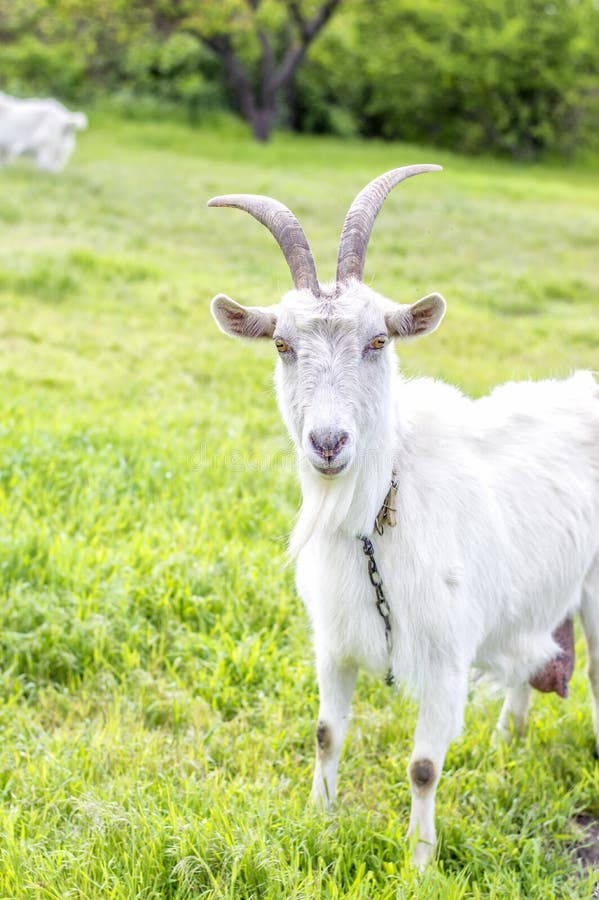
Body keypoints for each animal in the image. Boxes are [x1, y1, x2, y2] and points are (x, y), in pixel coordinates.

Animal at [208, 166, 599, 867]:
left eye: (378, 340)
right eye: (281, 344)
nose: (328, 443)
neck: (379, 519)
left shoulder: (445, 659)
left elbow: (422, 767)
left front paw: (419, 865)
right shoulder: (333, 643)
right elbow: (325, 732)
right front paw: (320, 821)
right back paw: (507, 745)